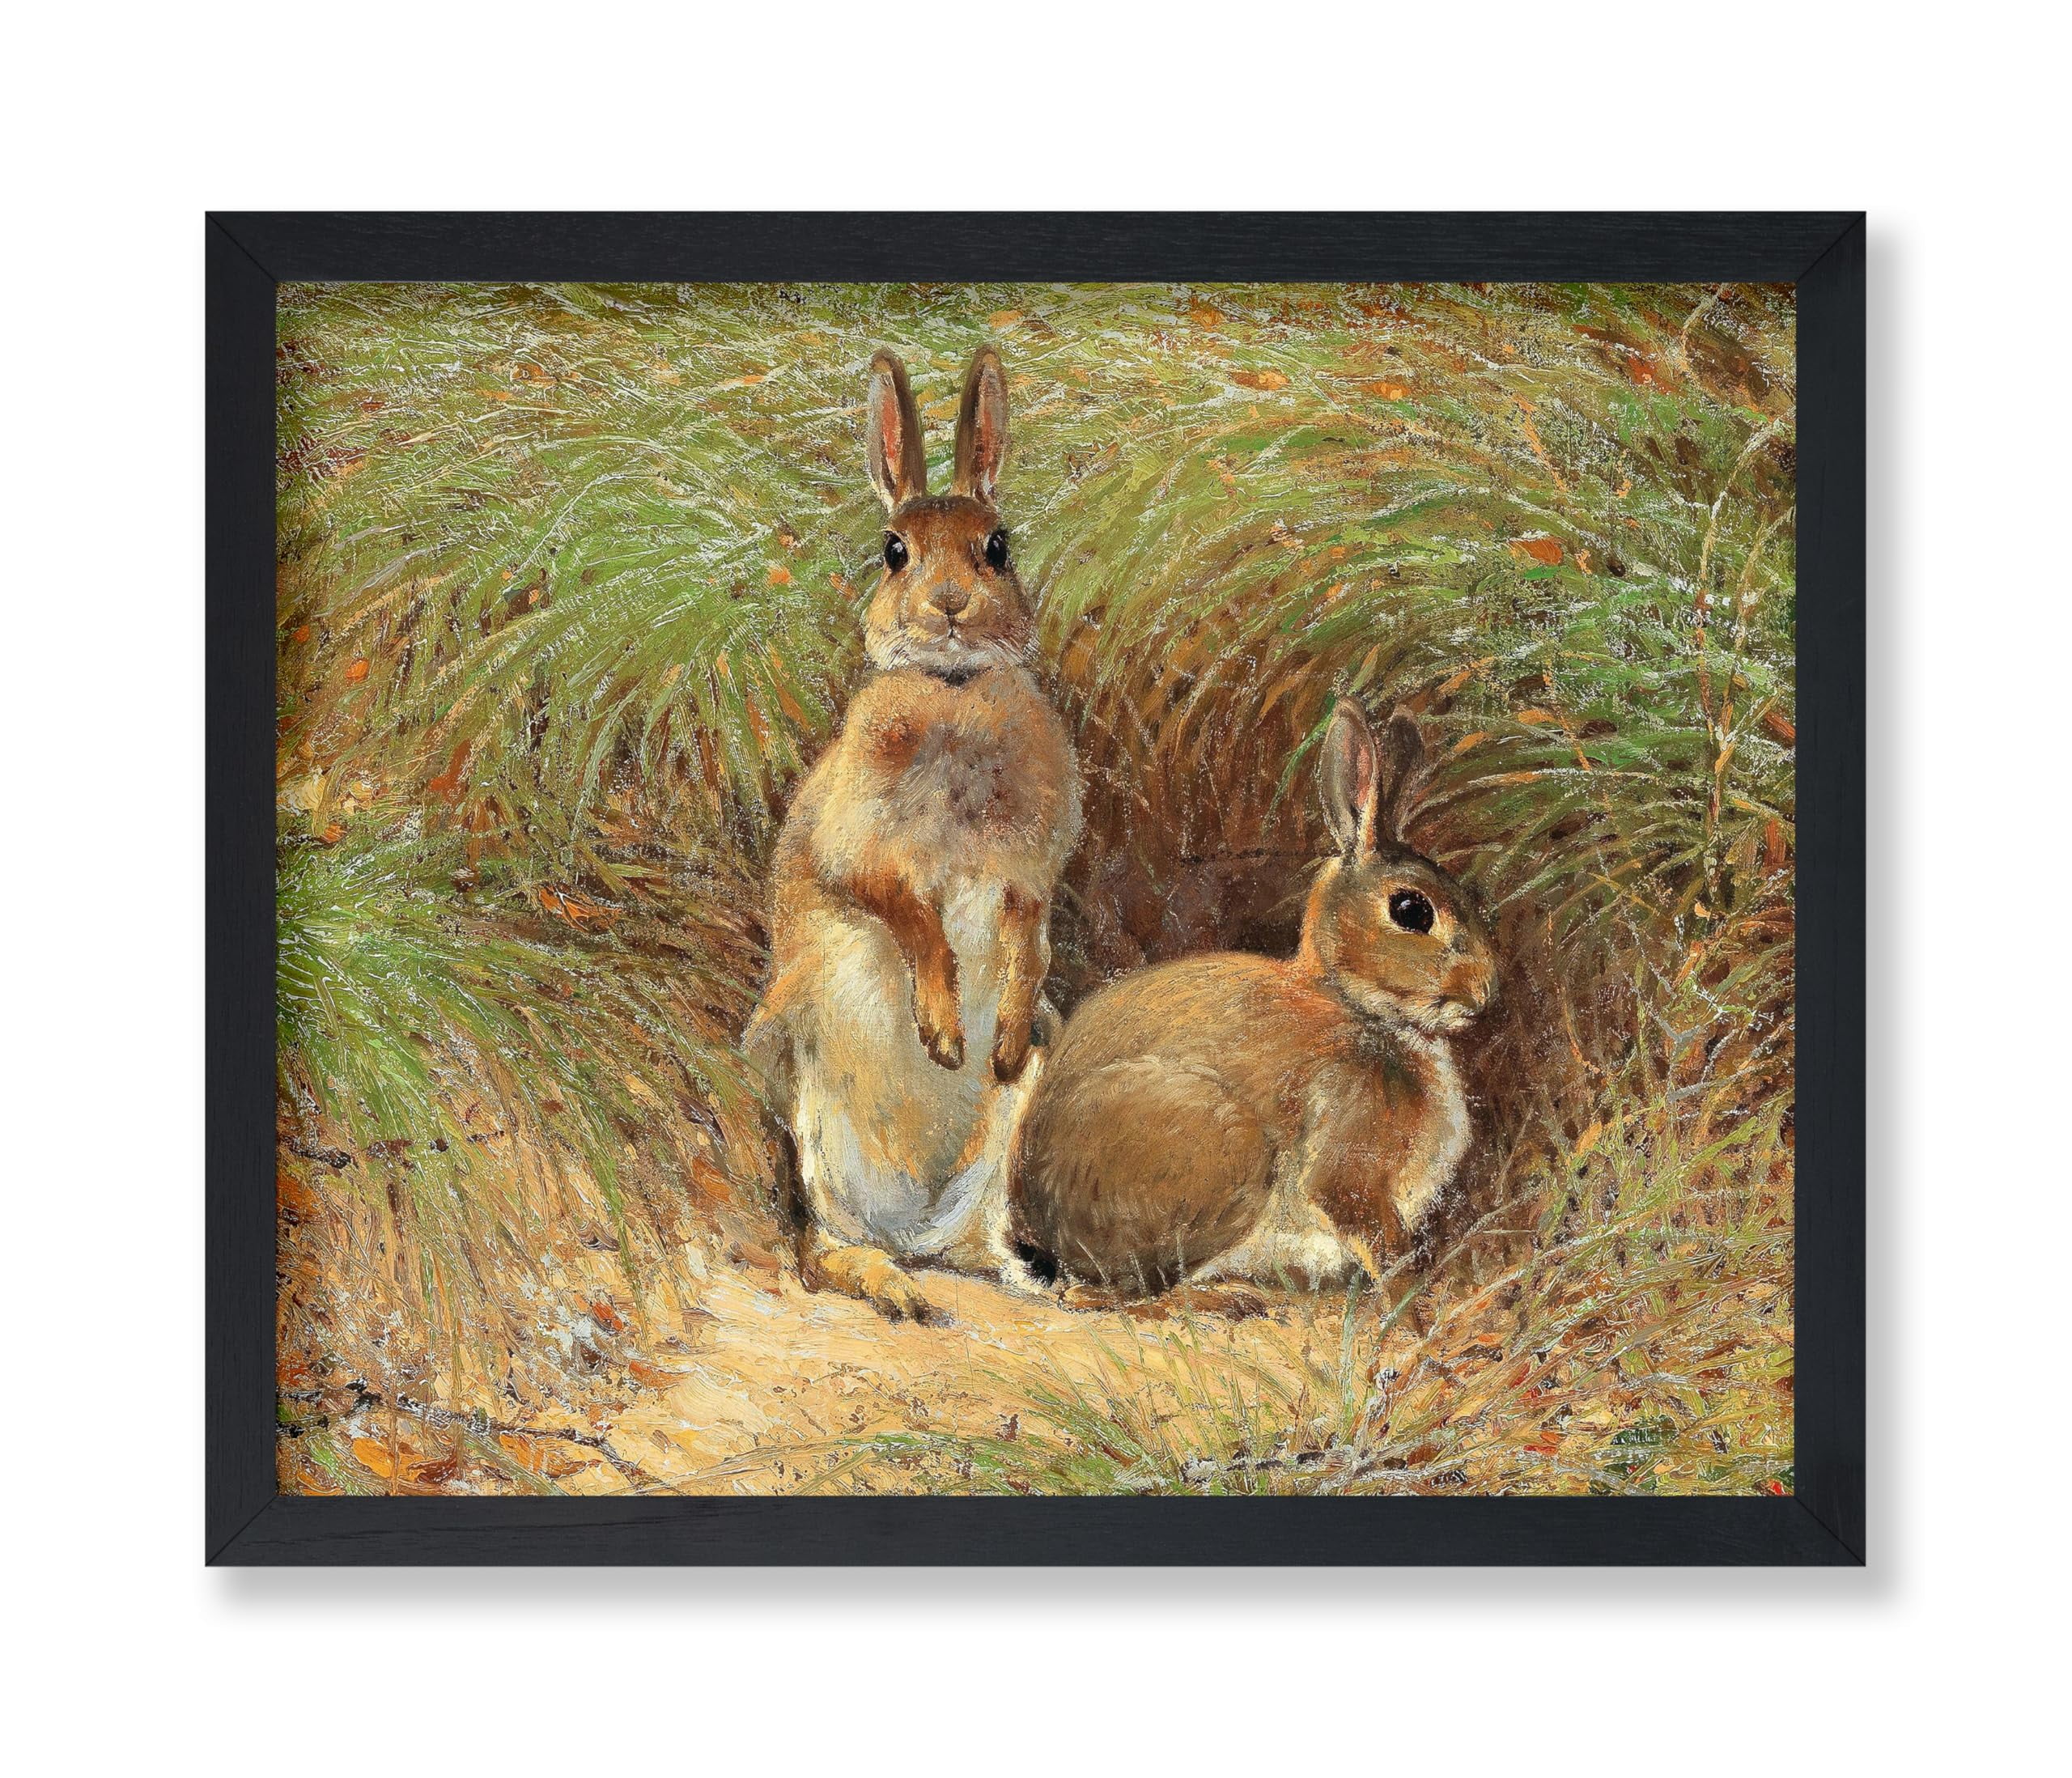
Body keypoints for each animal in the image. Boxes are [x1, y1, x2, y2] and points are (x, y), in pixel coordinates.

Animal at [744, 345, 1082, 1323]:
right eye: (894, 551)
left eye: (998, 545)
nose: (951, 605)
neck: (953, 691)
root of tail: (915, 1224)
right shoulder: (857, 853)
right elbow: (911, 915)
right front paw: (942, 1033)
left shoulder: (1029, 878)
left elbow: (1028, 938)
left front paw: (993, 1041)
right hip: (809, 1098)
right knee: (819, 1245)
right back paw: (891, 1286)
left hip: (1006, 1131)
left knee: (976, 1240)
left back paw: (1036, 1279)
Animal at [1008, 699, 1497, 1312]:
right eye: (1412, 910)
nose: (1486, 992)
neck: (1355, 1005)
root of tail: (1035, 1223)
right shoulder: (1348, 1167)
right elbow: (1379, 1239)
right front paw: (1416, 1300)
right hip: (1226, 1151)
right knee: (1128, 1293)